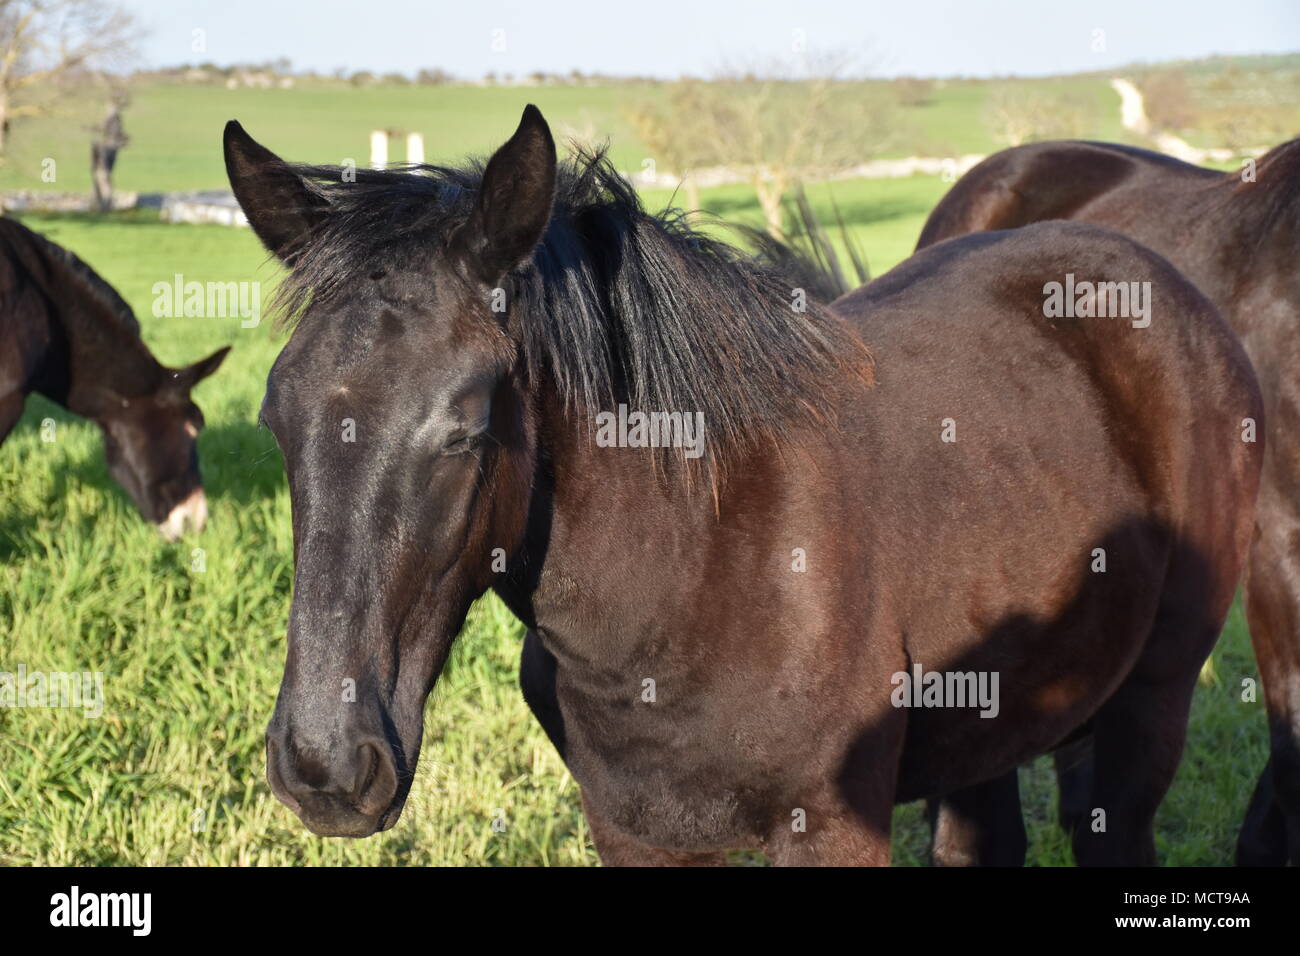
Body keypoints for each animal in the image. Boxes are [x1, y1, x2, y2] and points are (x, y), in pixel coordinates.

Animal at [226, 106, 1262, 864]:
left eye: (467, 426)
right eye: (276, 418)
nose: (322, 765)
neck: (690, 581)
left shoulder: (837, 830)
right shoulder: (636, 836)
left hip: (1153, 697)